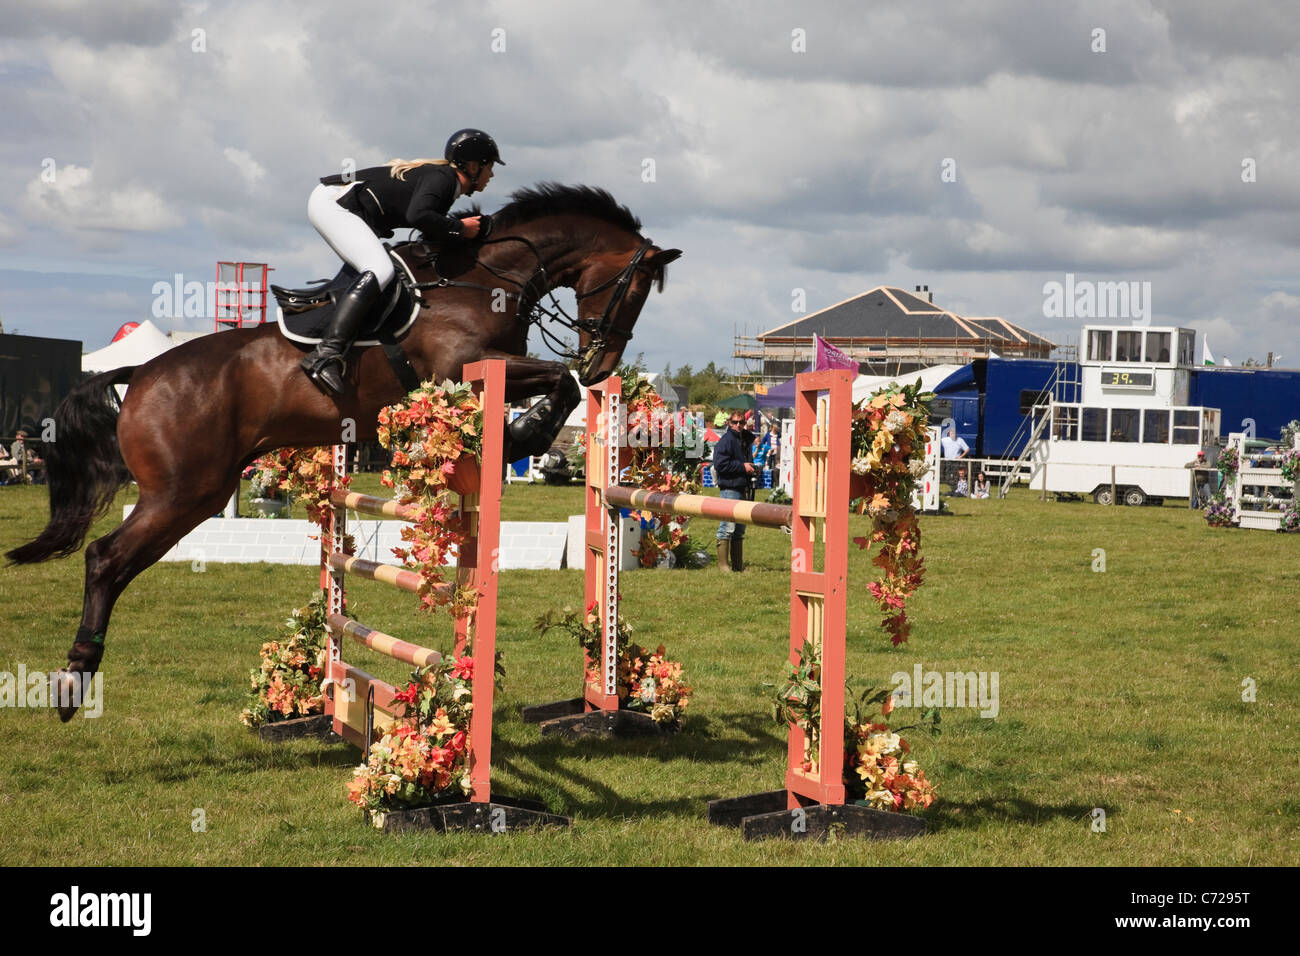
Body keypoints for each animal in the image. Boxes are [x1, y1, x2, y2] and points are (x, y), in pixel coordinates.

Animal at [7, 182, 681, 719]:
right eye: (633, 291)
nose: (605, 364)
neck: (487, 279)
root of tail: (140, 373)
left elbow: (559, 382)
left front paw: (531, 430)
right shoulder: (461, 371)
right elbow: (558, 380)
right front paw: (528, 435)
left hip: (193, 491)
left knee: (113, 561)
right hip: (185, 492)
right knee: (105, 559)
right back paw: (74, 679)